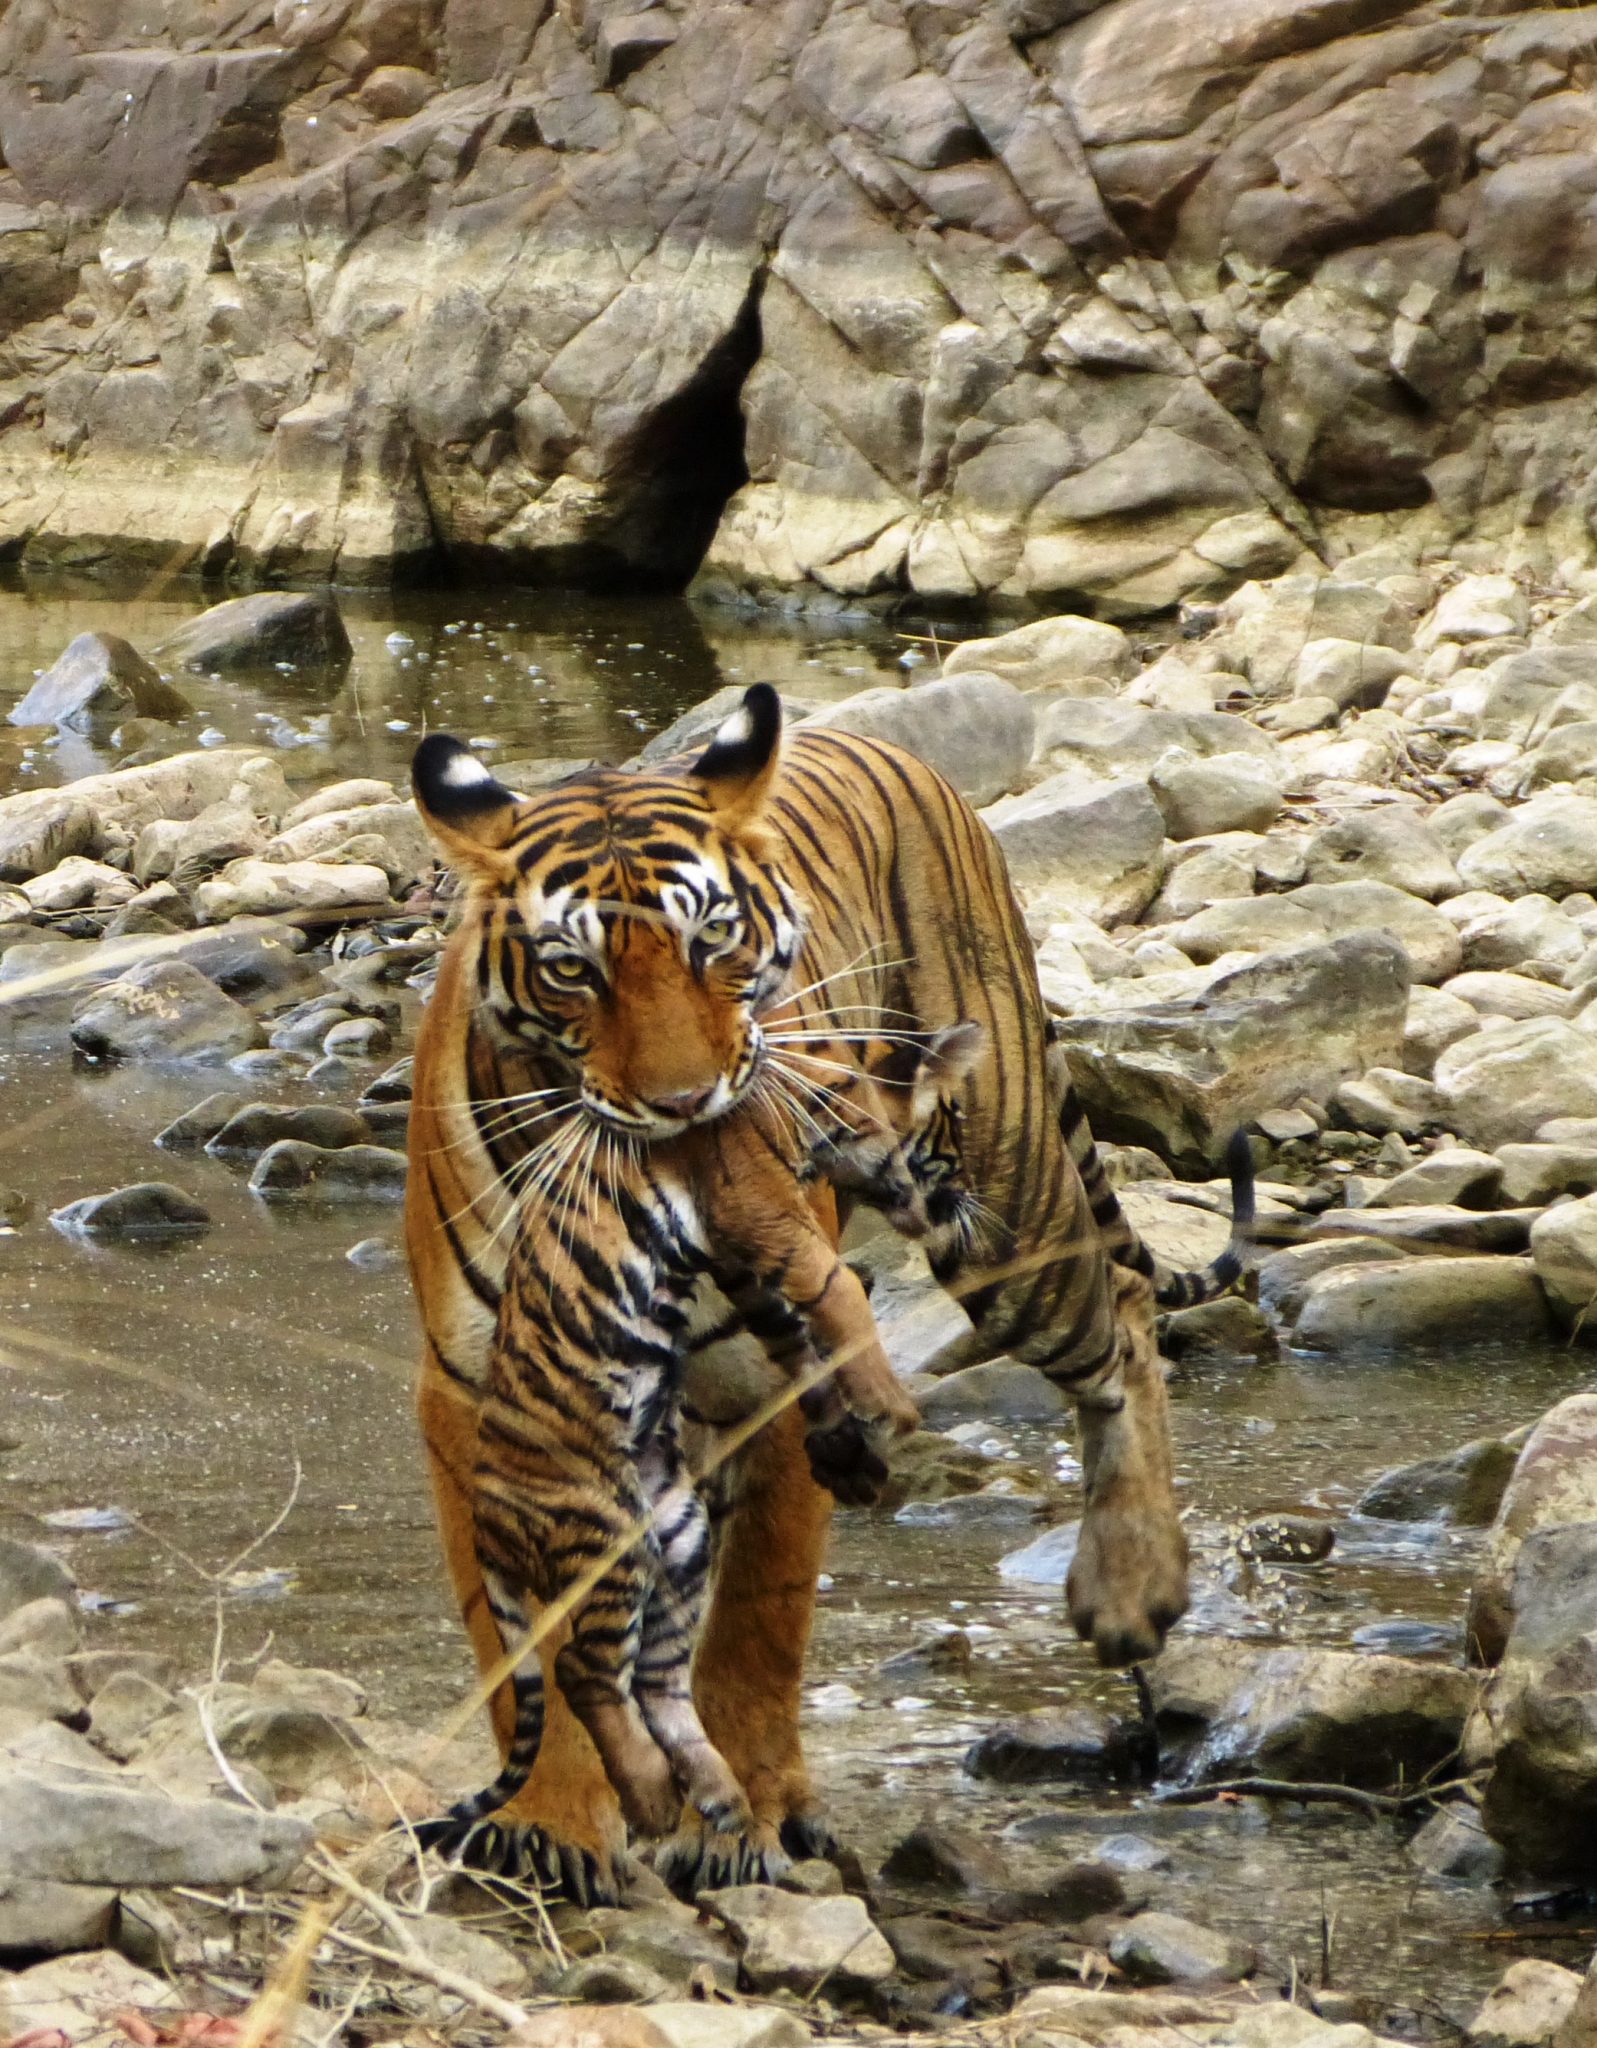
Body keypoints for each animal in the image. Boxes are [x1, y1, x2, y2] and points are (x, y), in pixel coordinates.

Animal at [405, 684, 1254, 1903]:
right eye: (573, 970)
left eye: (712, 940)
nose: (684, 1103)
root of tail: (890, 746)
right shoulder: (473, 1392)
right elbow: (520, 1637)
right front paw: (552, 1819)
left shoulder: (769, 1383)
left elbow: (759, 1618)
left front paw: (742, 1825)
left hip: (1008, 1213)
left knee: (1125, 1322)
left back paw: (1130, 1586)